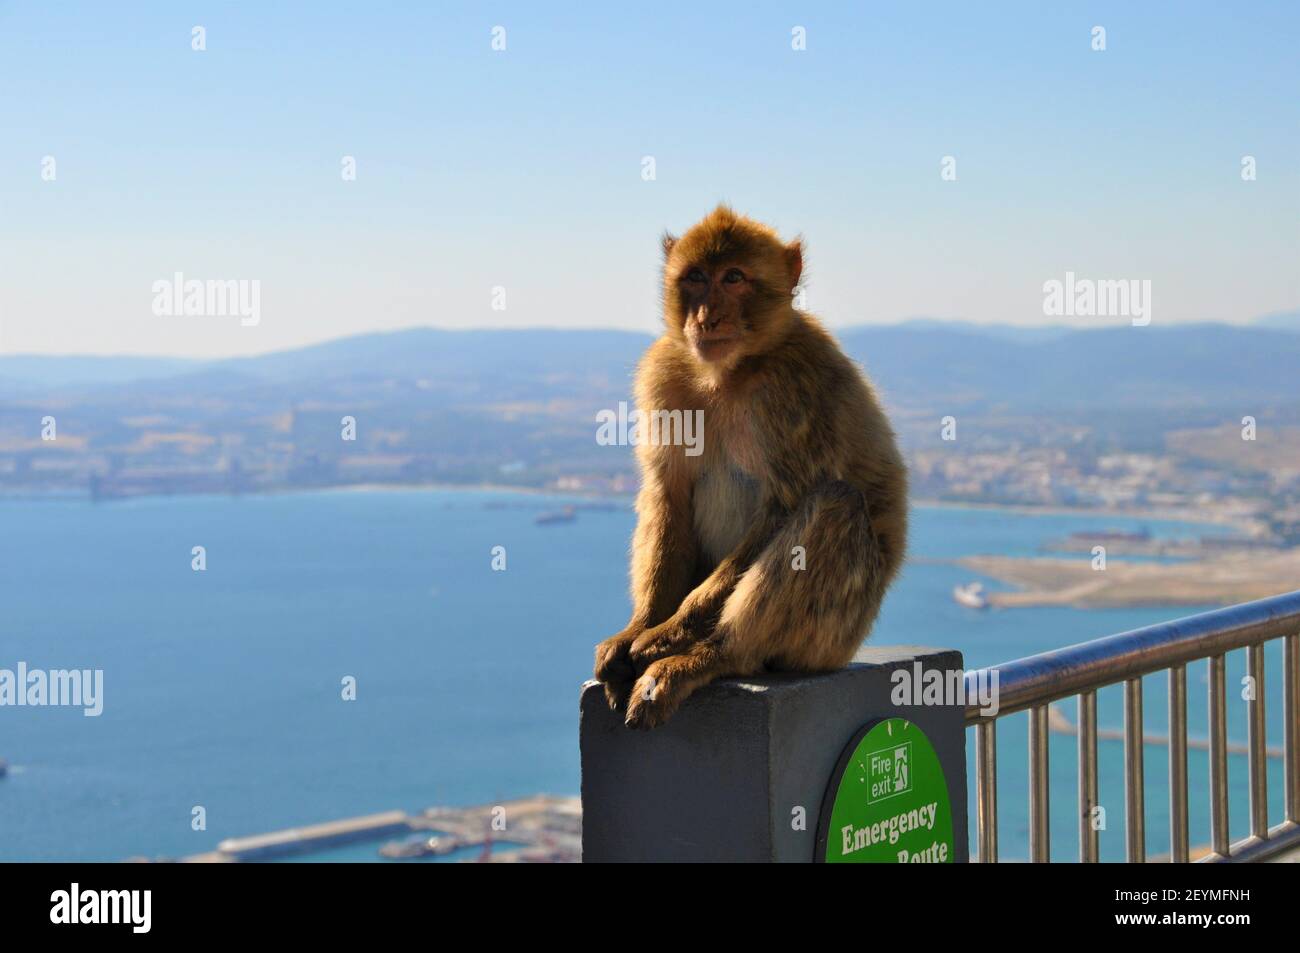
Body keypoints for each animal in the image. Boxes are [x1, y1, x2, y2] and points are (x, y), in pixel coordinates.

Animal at [593, 204, 909, 729]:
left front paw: (668, 633)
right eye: (696, 277)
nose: (707, 316)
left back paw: (712, 656)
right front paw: (640, 627)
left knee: (835, 505)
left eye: (734, 277)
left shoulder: (797, 385)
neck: (730, 372)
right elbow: (667, 495)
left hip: (834, 636)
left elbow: (784, 506)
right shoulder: (662, 373)